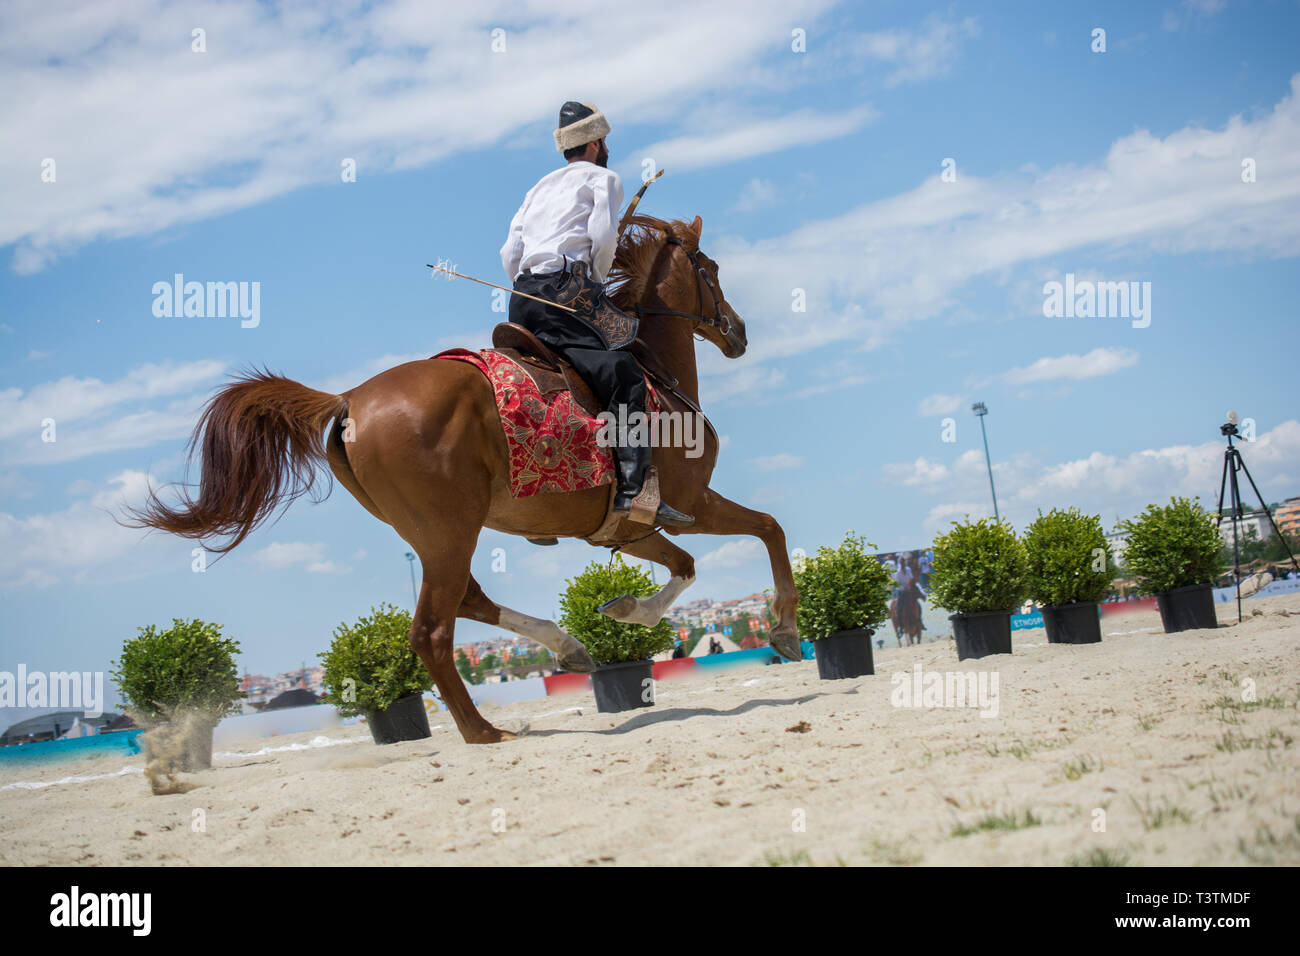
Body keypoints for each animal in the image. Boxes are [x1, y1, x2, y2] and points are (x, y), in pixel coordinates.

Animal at [125, 215, 801, 744]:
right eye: (711, 268)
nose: (739, 332)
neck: (653, 369)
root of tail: (348, 399)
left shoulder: (625, 528)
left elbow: (685, 566)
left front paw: (626, 610)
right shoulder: (688, 503)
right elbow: (767, 529)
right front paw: (786, 629)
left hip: (437, 534)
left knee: (468, 601)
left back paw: (565, 647)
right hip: (451, 532)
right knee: (431, 632)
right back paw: (483, 731)